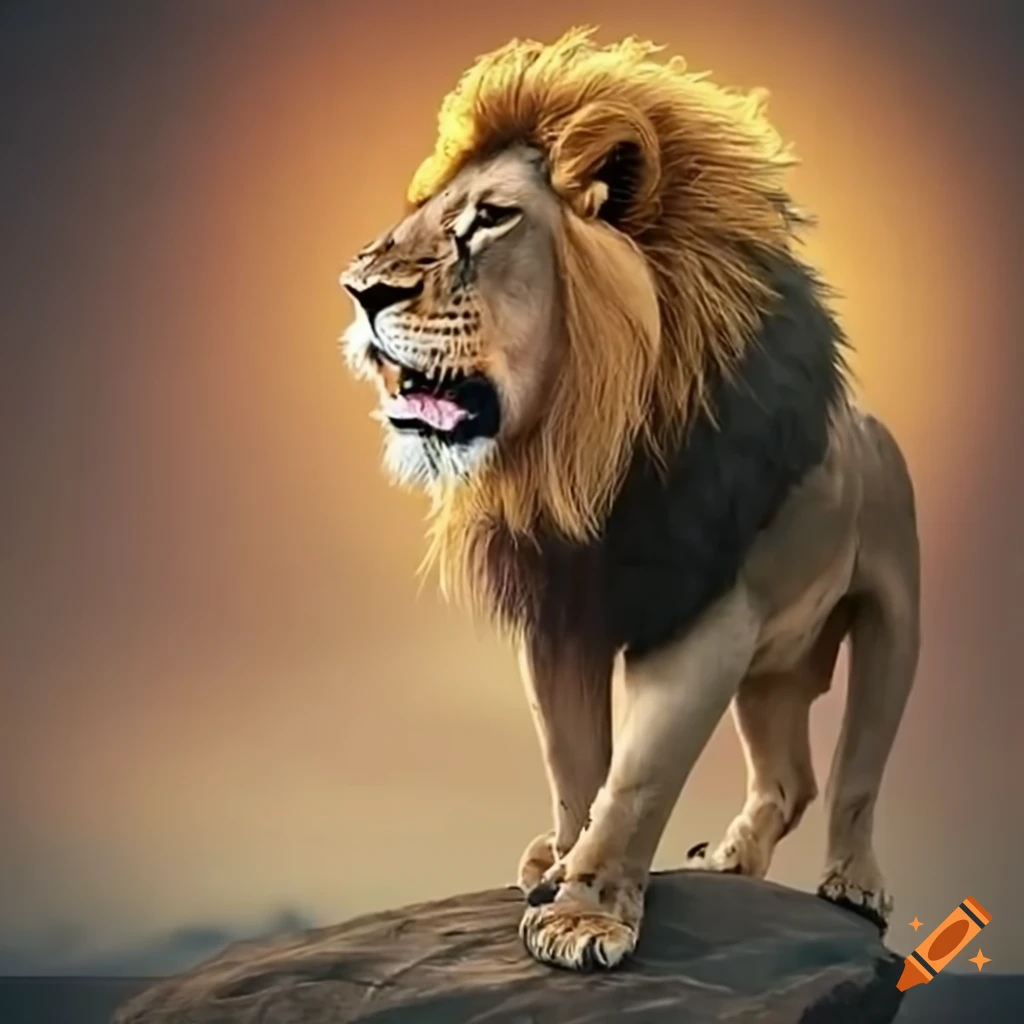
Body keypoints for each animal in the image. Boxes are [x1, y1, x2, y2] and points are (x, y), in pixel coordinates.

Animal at [338, 29, 920, 972]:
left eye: (491, 218)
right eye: (425, 211)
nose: (360, 292)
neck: (582, 451)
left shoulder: (707, 620)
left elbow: (638, 777)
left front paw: (583, 917)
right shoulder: (559, 612)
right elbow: (575, 762)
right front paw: (557, 865)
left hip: (892, 618)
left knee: (858, 774)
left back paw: (855, 883)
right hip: (774, 666)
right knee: (789, 779)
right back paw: (732, 858)